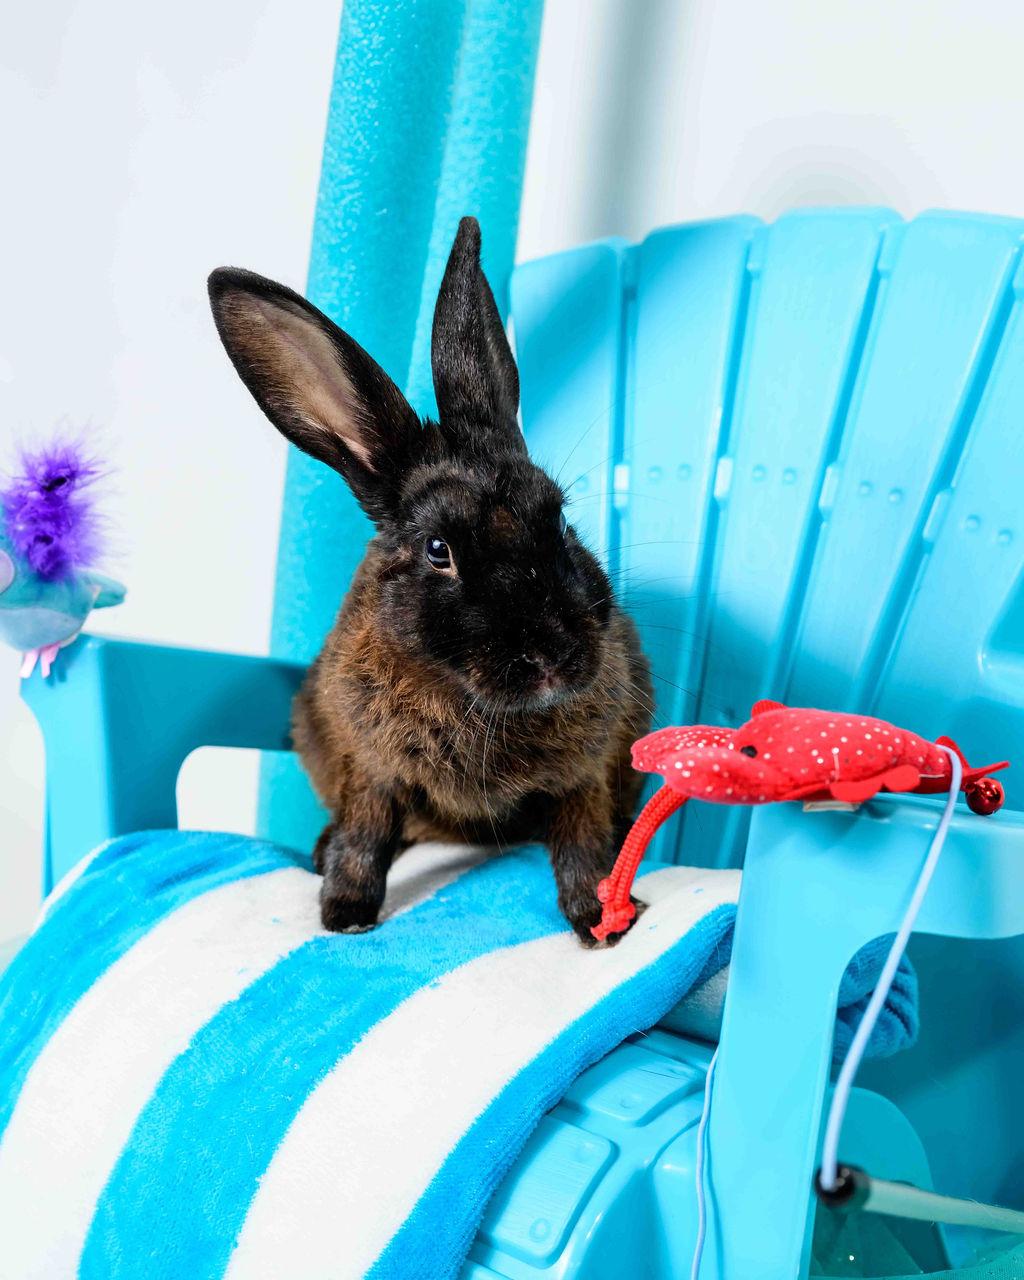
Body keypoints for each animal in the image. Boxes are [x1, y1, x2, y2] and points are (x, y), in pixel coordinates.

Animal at [208, 217, 653, 945]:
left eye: (559, 521)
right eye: (437, 550)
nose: (552, 660)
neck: (476, 702)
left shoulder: (582, 778)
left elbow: (583, 848)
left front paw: (601, 921)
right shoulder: (373, 773)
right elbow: (366, 841)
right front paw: (346, 917)